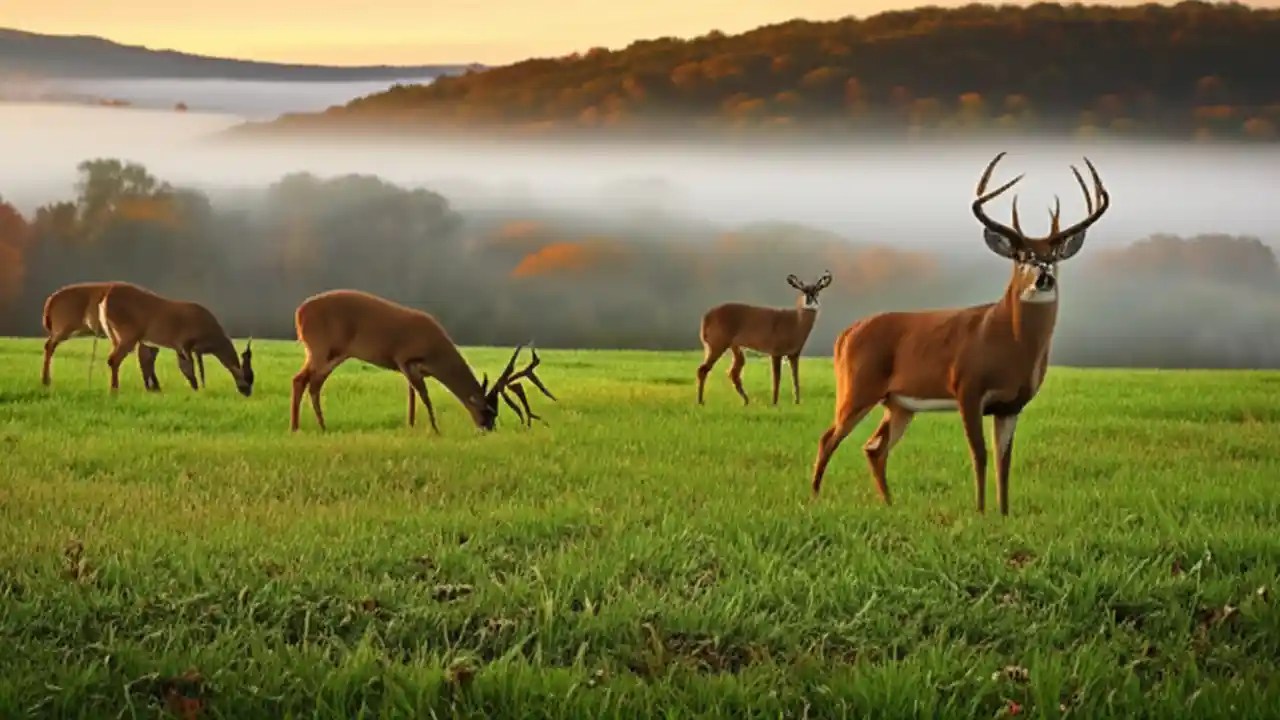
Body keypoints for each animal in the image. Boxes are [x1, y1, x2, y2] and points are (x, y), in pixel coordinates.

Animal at [41, 281, 200, 392]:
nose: (195, 385)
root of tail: (50, 301)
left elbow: (145, 359)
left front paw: (153, 387)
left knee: (49, 345)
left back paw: (45, 381)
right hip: (65, 326)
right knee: (49, 345)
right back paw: (46, 380)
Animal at [96, 282, 254, 396]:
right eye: (248, 378)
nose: (247, 393)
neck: (212, 336)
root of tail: (104, 300)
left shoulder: (182, 348)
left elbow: (191, 368)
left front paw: (198, 388)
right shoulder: (185, 344)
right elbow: (189, 368)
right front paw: (197, 390)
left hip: (116, 336)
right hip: (128, 334)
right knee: (114, 359)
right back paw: (114, 390)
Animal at [289, 289, 555, 433]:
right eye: (488, 411)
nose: (487, 428)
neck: (436, 351)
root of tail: (299, 313)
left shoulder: (410, 368)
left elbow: (412, 397)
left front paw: (411, 425)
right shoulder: (405, 359)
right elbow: (424, 395)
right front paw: (435, 429)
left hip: (335, 354)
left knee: (314, 383)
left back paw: (321, 426)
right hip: (320, 347)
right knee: (300, 379)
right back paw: (296, 428)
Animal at [696, 271, 833, 406]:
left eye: (817, 290)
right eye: (803, 290)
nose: (810, 302)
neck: (795, 325)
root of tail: (705, 319)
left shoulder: (795, 353)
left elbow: (795, 378)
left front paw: (797, 402)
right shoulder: (776, 349)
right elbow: (777, 378)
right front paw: (775, 403)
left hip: (733, 345)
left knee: (733, 372)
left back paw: (746, 401)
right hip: (717, 342)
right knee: (703, 369)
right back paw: (701, 401)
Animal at [809, 151, 1110, 515]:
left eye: (1053, 257)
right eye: (1020, 256)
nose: (1044, 277)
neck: (1010, 344)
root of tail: (845, 334)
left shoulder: (1011, 405)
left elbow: (1004, 462)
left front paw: (1004, 513)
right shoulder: (967, 387)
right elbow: (979, 454)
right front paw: (980, 512)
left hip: (898, 404)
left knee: (874, 447)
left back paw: (890, 504)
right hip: (857, 387)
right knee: (829, 437)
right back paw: (814, 497)